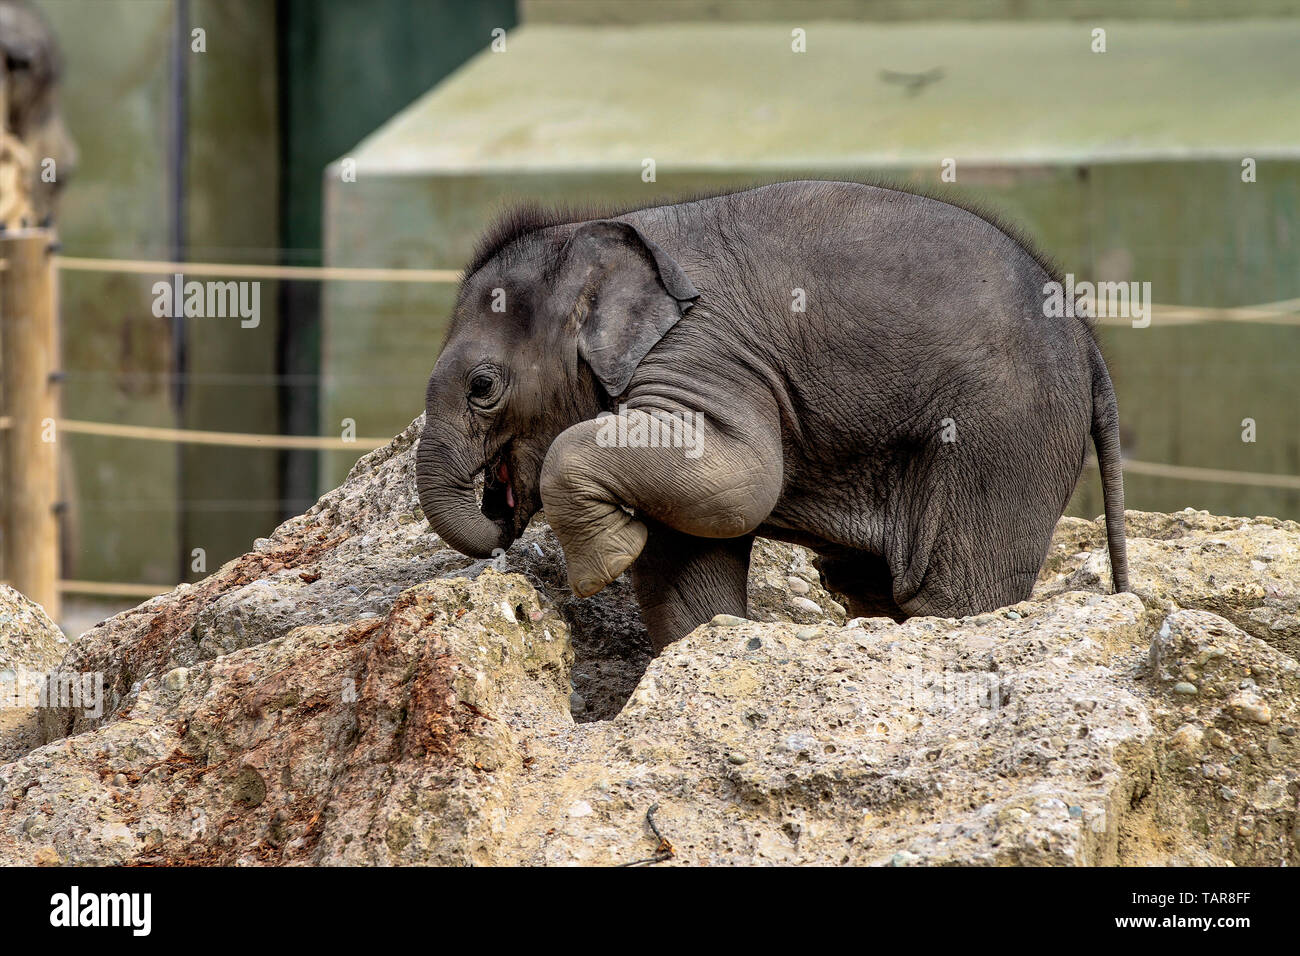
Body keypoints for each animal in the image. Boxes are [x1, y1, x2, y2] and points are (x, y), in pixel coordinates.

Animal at [417, 180, 1129, 652]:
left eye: (482, 386)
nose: (498, 521)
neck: (596, 231)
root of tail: (1089, 340)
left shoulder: (705, 350)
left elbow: (743, 476)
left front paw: (601, 566)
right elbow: (688, 552)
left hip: (1004, 431)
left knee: (953, 594)